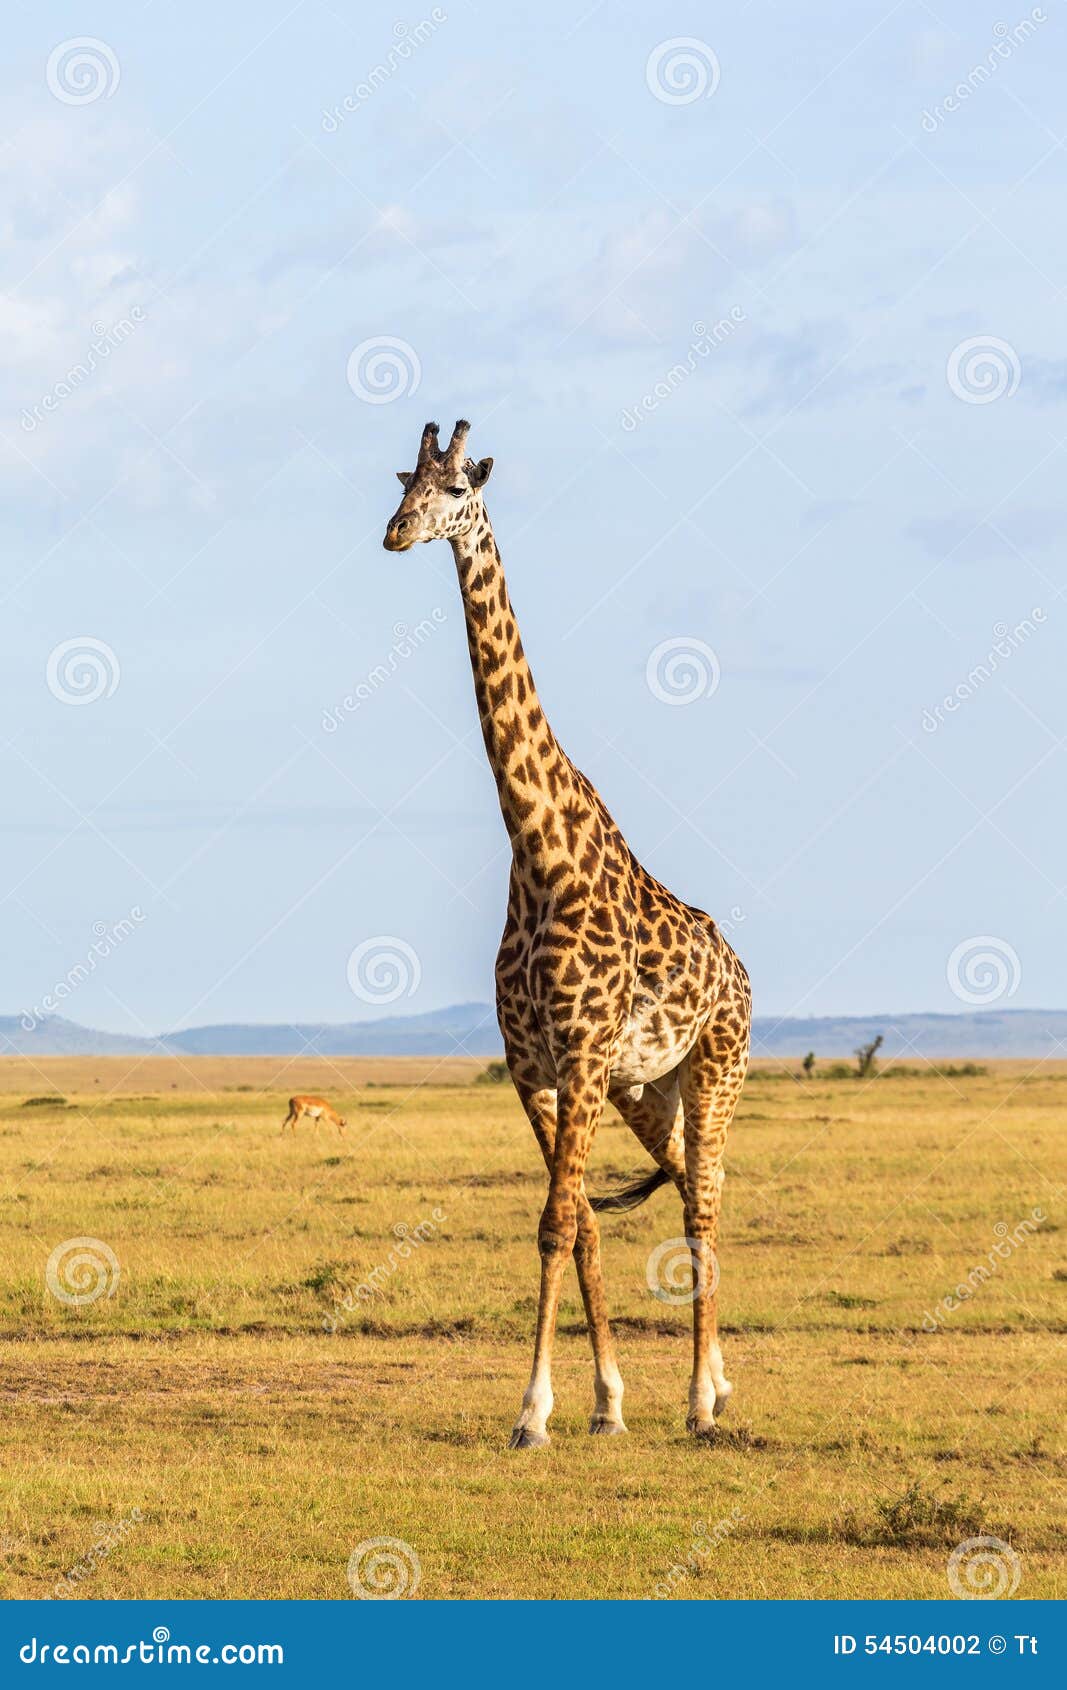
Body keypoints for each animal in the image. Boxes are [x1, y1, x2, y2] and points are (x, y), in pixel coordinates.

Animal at [383, 420, 751, 1446]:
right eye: (403, 480)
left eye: (458, 489)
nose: (395, 533)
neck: (537, 848)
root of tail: (741, 970)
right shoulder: (535, 1067)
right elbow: (578, 1219)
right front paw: (603, 1401)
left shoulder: (582, 1055)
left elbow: (555, 1222)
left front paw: (531, 1414)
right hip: (646, 1088)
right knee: (686, 1186)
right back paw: (711, 1387)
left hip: (714, 1068)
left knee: (706, 1205)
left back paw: (702, 1403)